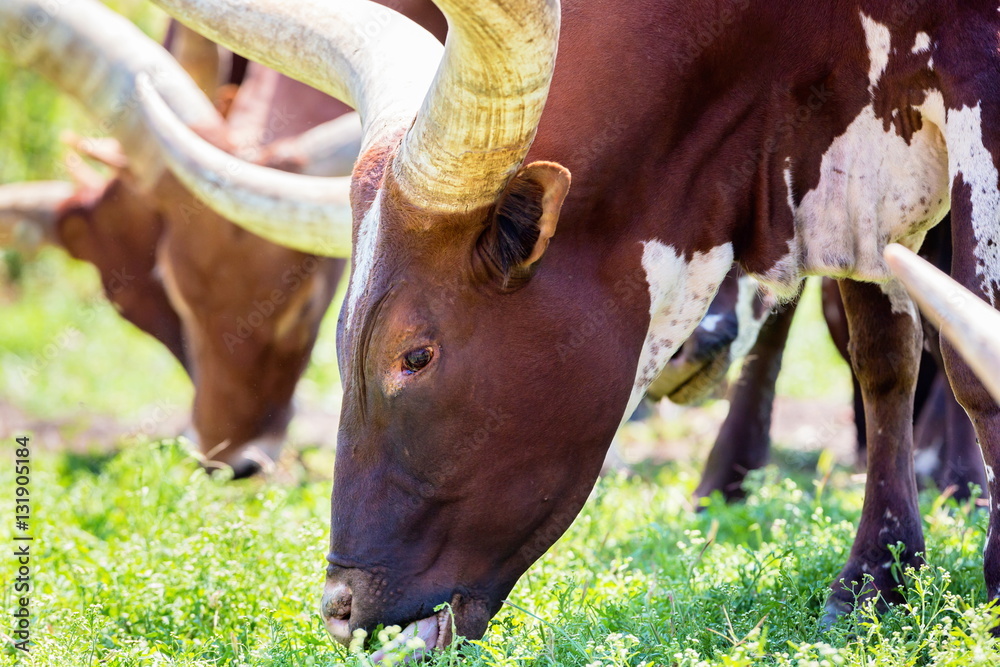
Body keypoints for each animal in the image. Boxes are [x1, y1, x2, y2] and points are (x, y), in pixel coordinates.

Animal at [114, 0, 1000, 653]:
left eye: (415, 354)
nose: (340, 607)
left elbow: (967, 354)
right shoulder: (854, 161)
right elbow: (884, 352)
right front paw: (875, 582)